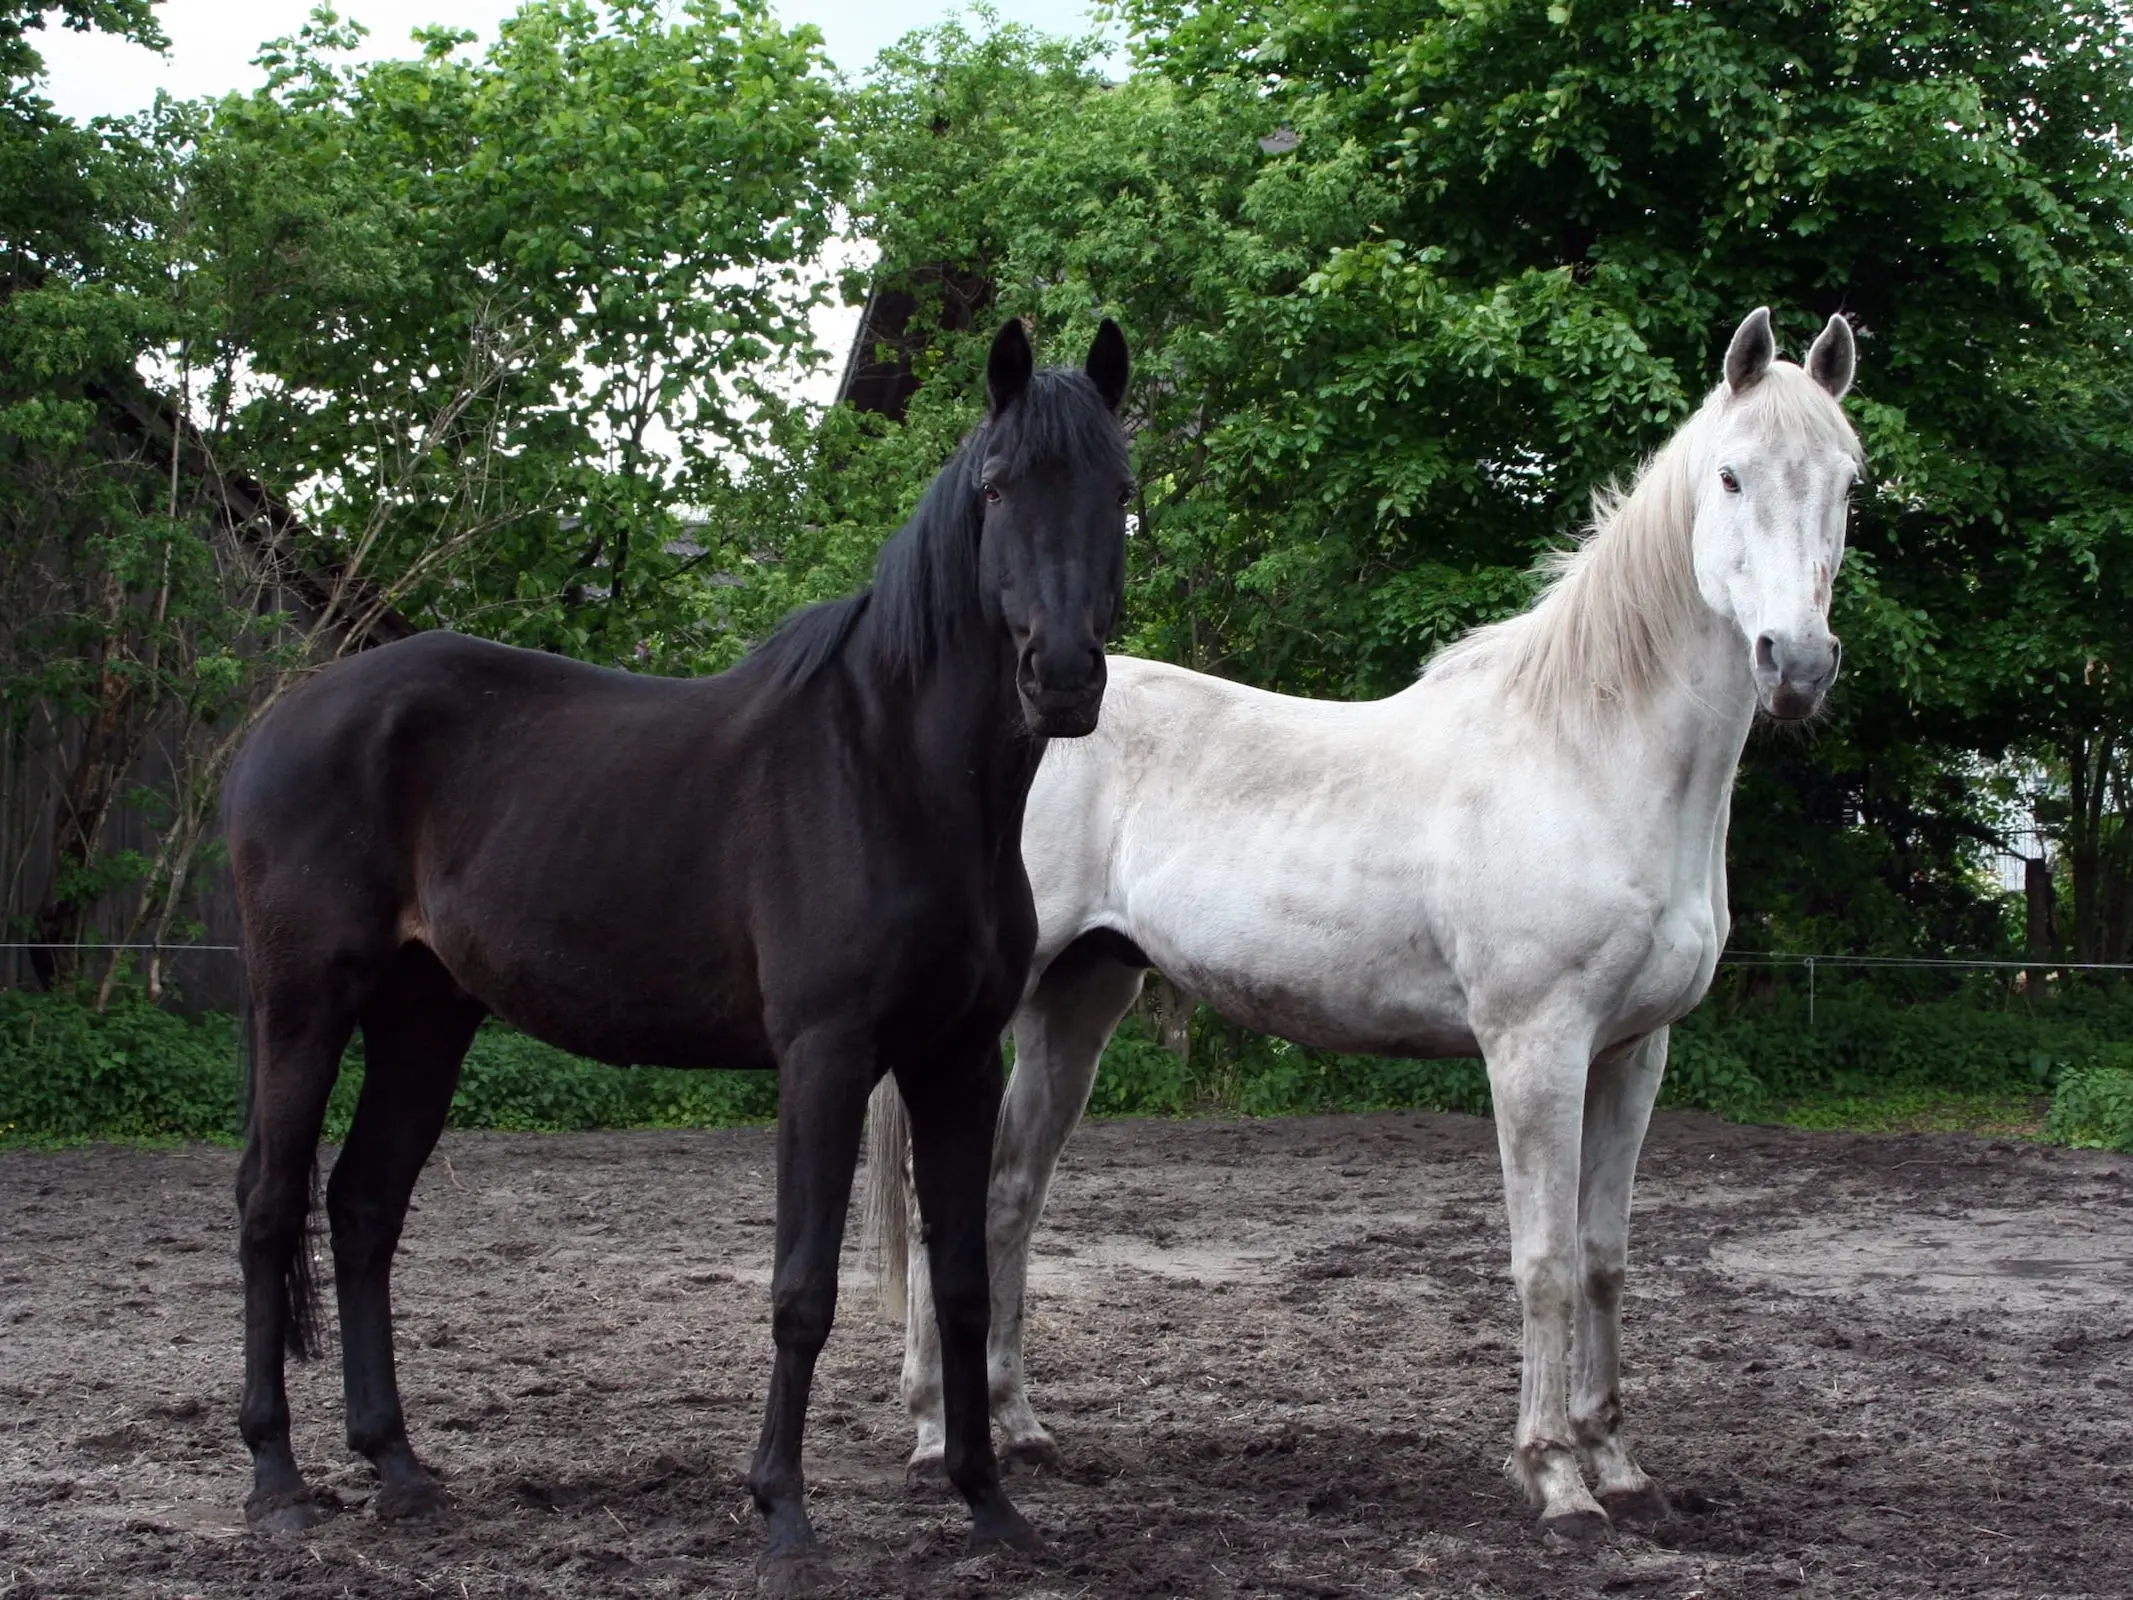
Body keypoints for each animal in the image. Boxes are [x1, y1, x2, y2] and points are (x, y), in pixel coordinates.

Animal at [223, 317, 1133, 1584]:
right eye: (998, 487)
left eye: (1121, 492)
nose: (1063, 678)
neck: (891, 772)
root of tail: (282, 724)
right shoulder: (825, 1055)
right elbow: (802, 1289)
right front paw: (783, 1515)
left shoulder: (953, 1057)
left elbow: (957, 1279)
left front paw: (989, 1504)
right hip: (302, 1000)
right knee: (270, 1204)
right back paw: (277, 1481)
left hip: (424, 1015)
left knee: (361, 1206)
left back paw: (396, 1466)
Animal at [866, 308, 1860, 1539]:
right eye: (1730, 475)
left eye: (1848, 482)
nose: (1797, 663)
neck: (1588, 755)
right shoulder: (1535, 1046)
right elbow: (1542, 1260)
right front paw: (1555, 1476)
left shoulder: (1635, 1052)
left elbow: (1603, 1257)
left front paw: (1620, 1465)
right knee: (940, 1199)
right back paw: (929, 1435)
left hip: (1081, 998)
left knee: (1009, 1195)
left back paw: (1016, 1427)